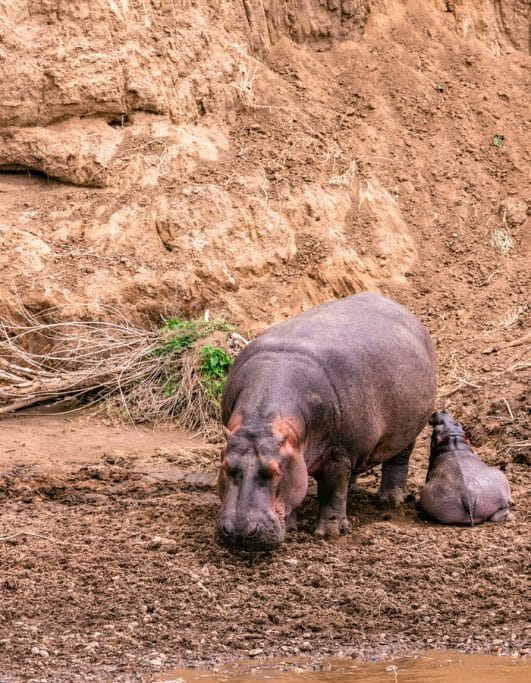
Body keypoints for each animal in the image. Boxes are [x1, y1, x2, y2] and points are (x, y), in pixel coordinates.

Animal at [216, 292, 436, 549]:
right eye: (226, 466)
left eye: (274, 471)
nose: (240, 533)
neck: (261, 423)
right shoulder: (296, 455)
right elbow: (298, 489)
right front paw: (292, 527)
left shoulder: (338, 453)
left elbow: (333, 492)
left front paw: (328, 533)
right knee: (354, 472)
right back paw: (355, 490)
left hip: (406, 431)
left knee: (397, 462)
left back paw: (389, 500)